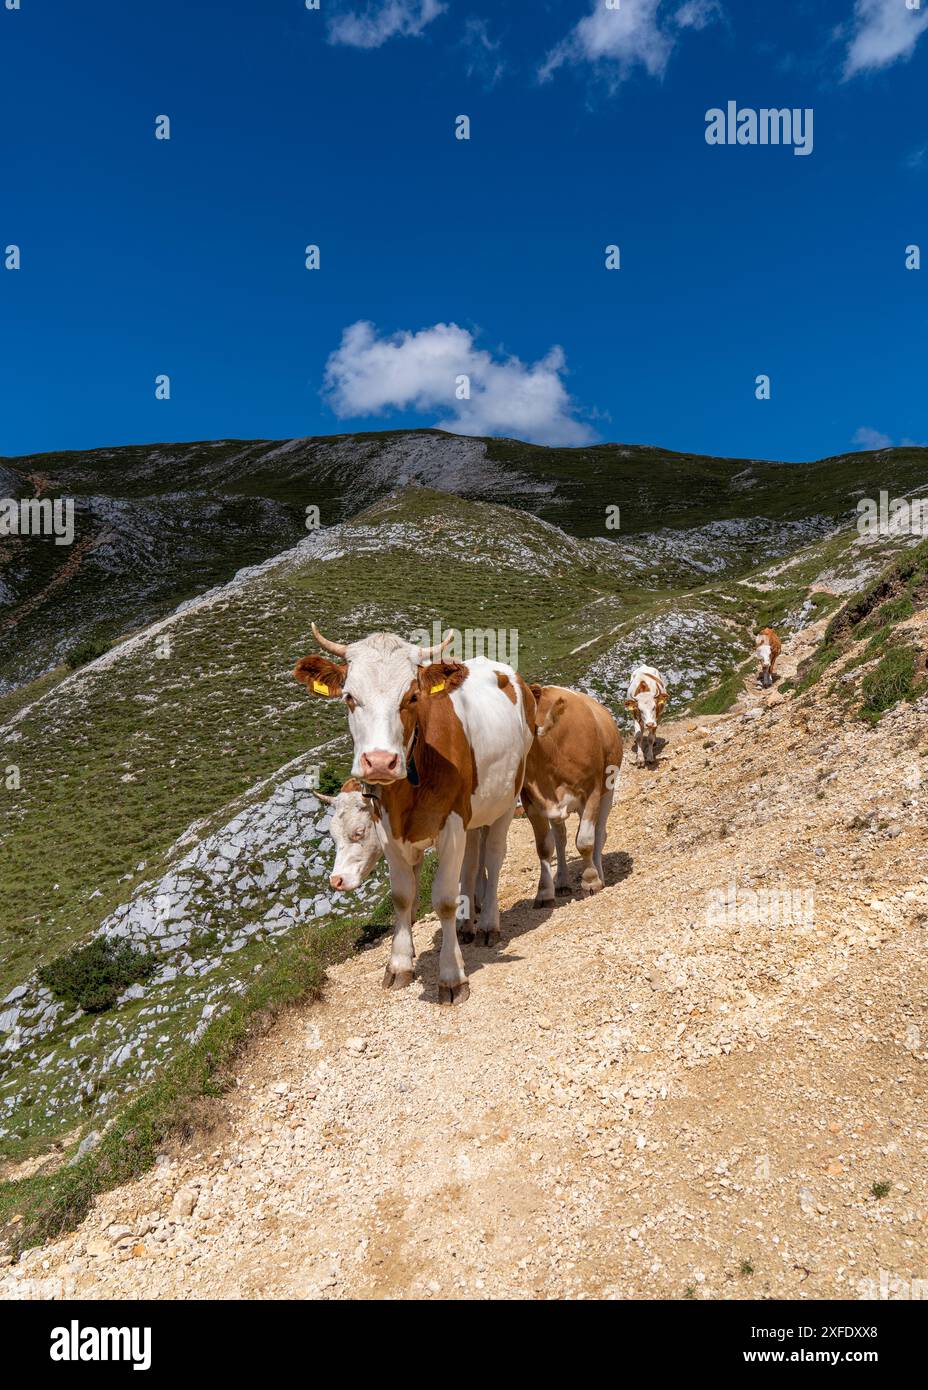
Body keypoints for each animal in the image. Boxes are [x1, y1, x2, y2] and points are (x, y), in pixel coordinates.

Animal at [294, 626, 535, 1004]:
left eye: (412, 696)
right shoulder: (391, 830)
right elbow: (404, 896)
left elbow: (444, 900)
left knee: (493, 858)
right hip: (474, 812)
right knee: (472, 860)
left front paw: (451, 976)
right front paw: (400, 965)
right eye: (349, 697)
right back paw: (468, 922)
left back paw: (487, 924)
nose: (379, 761)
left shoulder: (451, 823)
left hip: (506, 801)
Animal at [521, 685, 623, 904]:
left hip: (607, 792)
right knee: (561, 838)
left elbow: (585, 841)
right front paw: (544, 892)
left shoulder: (592, 791)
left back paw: (599, 874)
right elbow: (544, 847)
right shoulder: (531, 802)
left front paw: (591, 881)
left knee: (599, 833)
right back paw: (562, 883)